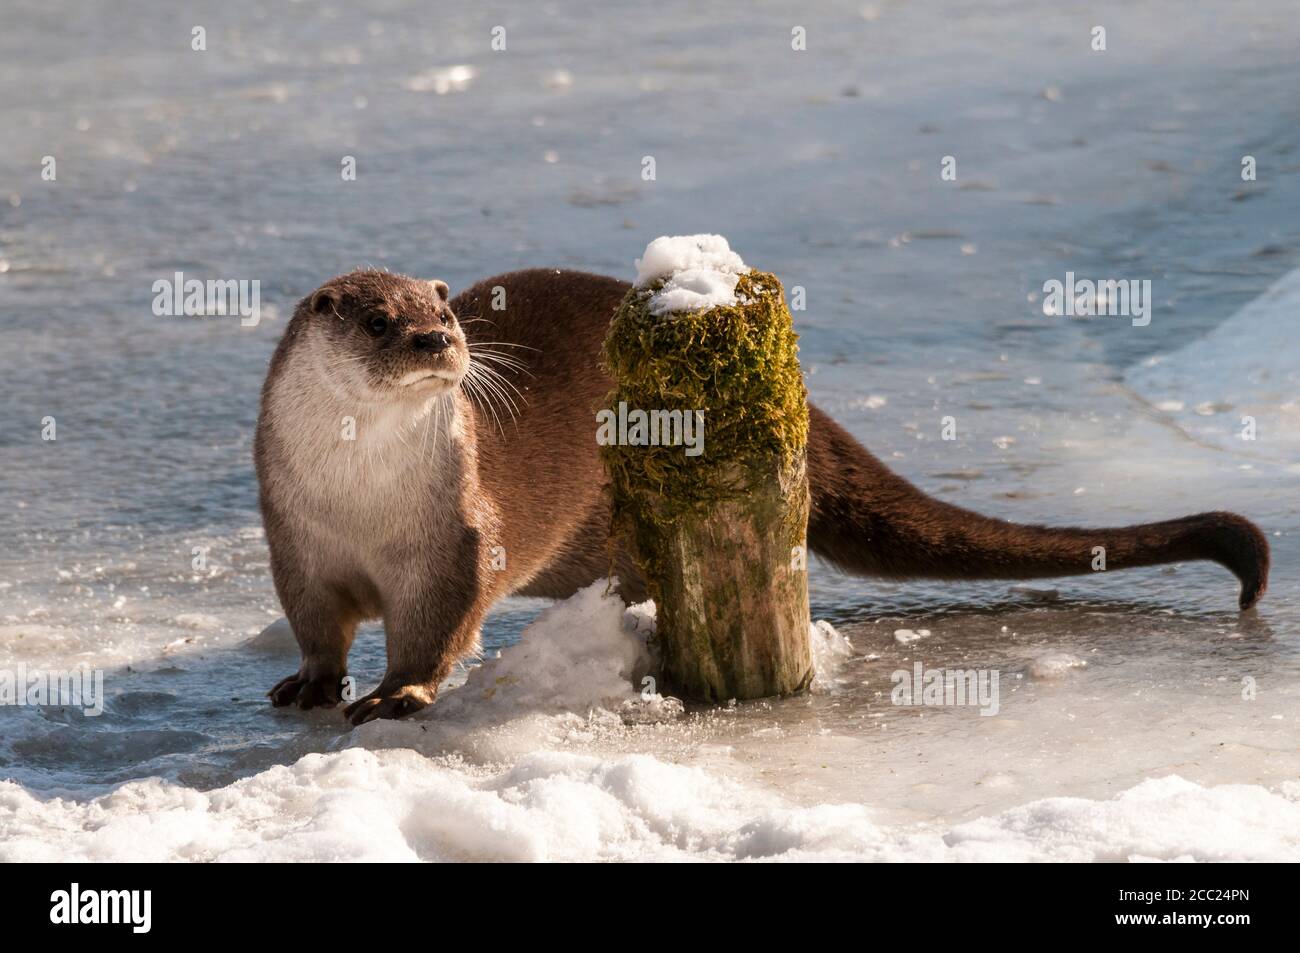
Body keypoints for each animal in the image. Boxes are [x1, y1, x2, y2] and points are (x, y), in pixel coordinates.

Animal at [256, 268, 1270, 725]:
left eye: (444, 312)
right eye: (380, 320)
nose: (438, 342)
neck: (362, 508)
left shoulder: (457, 538)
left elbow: (436, 625)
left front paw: (398, 691)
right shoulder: (292, 534)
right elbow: (314, 618)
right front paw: (310, 680)